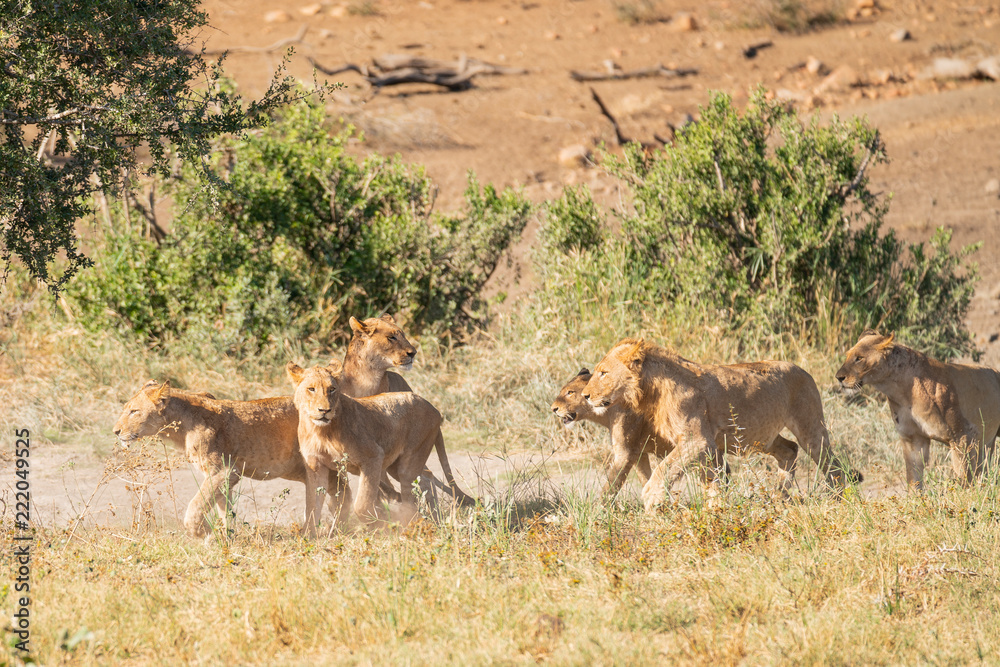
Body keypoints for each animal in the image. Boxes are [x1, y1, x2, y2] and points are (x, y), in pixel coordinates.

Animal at [112, 381, 397, 538]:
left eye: (133, 411)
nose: (115, 431)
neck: (180, 423)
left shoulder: (224, 471)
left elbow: (195, 506)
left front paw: (202, 533)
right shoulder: (221, 475)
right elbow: (222, 507)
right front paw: (224, 536)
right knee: (341, 494)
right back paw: (337, 529)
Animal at [287, 362, 443, 534]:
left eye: (332, 389)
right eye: (311, 389)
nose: (325, 410)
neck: (320, 430)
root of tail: (434, 408)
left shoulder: (373, 457)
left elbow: (362, 503)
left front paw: (380, 521)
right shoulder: (315, 466)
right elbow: (312, 506)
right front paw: (308, 535)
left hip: (409, 462)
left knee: (411, 494)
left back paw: (411, 522)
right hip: (395, 466)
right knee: (426, 479)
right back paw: (432, 519)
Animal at [581, 339, 859, 511]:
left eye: (604, 372)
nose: (585, 395)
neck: (651, 391)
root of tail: (803, 369)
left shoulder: (697, 440)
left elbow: (664, 470)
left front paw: (652, 500)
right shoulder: (706, 446)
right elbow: (711, 481)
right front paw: (715, 511)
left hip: (810, 428)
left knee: (831, 465)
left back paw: (836, 499)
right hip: (761, 437)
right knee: (789, 450)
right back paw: (779, 494)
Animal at [836, 330, 1000, 489]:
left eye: (859, 358)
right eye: (848, 356)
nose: (839, 377)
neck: (901, 391)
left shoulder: (962, 435)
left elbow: (964, 476)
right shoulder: (913, 438)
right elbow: (914, 478)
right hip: (986, 442)